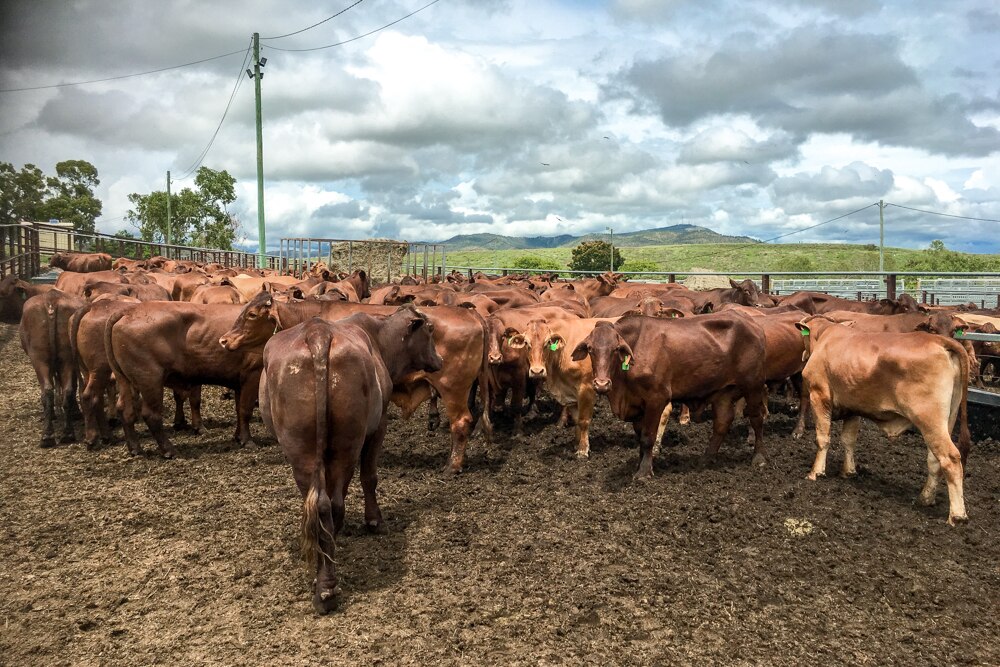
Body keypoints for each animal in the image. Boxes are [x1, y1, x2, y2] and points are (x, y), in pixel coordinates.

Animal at [262, 309, 442, 613]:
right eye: (430, 329)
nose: (439, 360)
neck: (378, 338)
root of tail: (318, 333)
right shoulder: (378, 426)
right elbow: (369, 476)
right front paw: (375, 521)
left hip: (302, 450)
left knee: (321, 505)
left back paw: (323, 582)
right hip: (348, 443)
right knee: (334, 503)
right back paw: (328, 586)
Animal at [571, 313, 768, 477]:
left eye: (616, 349)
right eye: (590, 349)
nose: (601, 384)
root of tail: (752, 323)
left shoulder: (656, 399)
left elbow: (648, 437)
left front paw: (643, 472)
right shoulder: (636, 404)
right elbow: (640, 437)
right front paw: (642, 465)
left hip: (753, 385)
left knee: (757, 419)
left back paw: (759, 457)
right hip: (723, 392)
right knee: (722, 422)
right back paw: (706, 458)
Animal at [794, 315, 971, 525]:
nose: (803, 353)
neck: (824, 337)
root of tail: (940, 341)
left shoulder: (819, 396)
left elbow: (822, 438)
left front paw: (816, 472)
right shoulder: (853, 407)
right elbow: (848, 440)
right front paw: (848, 471)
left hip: (930, 420)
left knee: (950, 459)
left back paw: (957, 515)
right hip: (946, 420)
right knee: (935, 460)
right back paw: (925, 498)